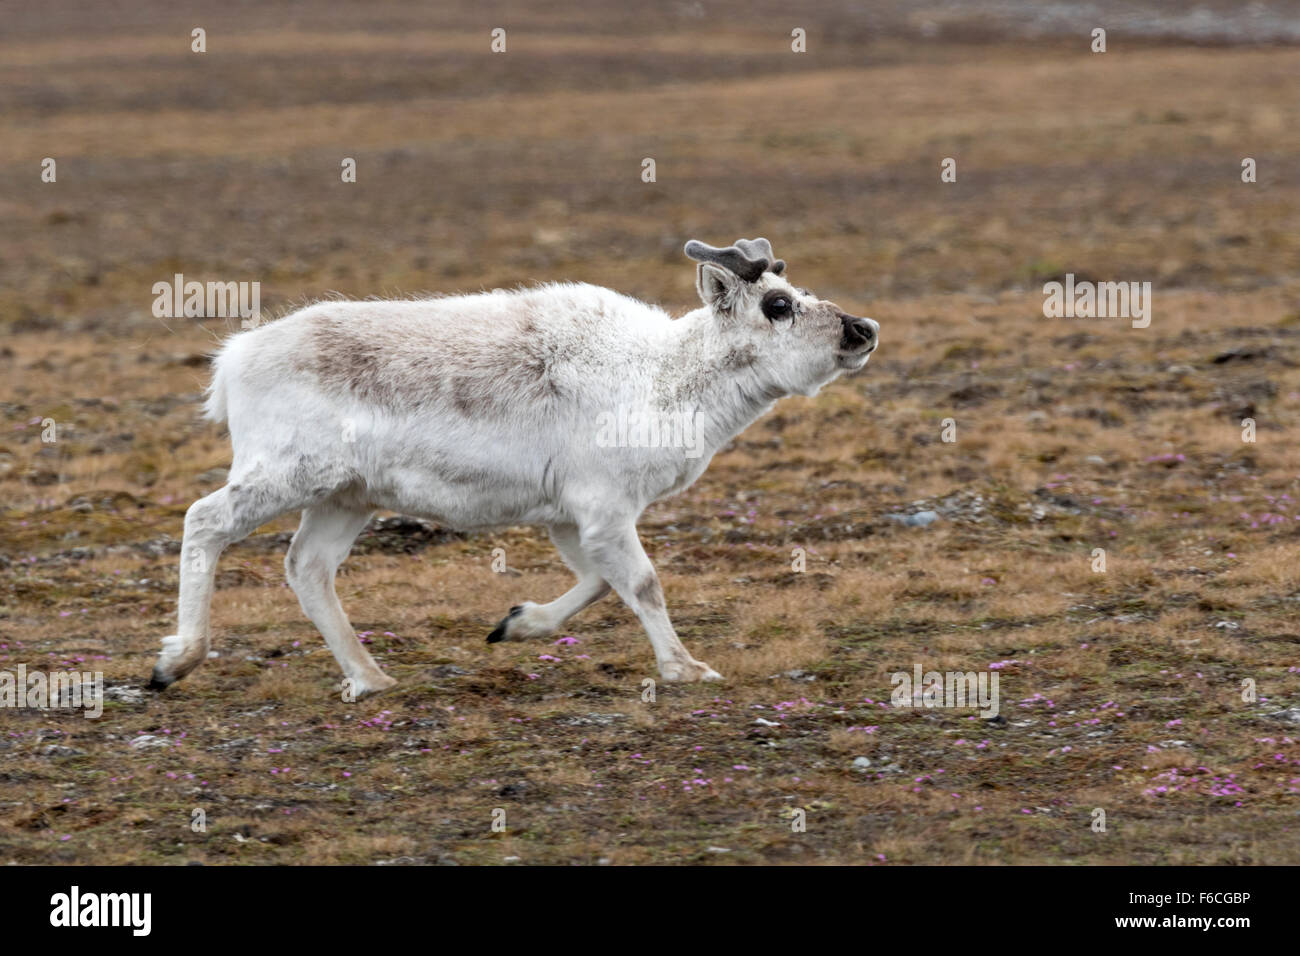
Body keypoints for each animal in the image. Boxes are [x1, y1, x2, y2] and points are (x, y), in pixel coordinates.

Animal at [149, 238, 879, 697]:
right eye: (777, 305)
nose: (863, 329)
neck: (665, 378)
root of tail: (231, 362)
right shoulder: (605, 508)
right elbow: (643, 585)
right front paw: (686, 667)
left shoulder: (570, 517)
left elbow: (595, 583)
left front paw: (515, 624)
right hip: (288, 475)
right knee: (204, 519)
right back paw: (175, 663)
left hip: (346, 498)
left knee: (307, 567)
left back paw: (370, 677)